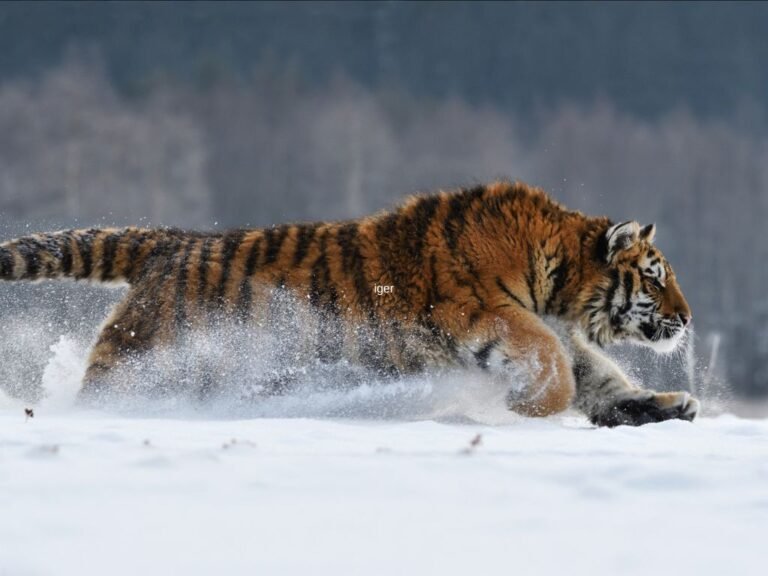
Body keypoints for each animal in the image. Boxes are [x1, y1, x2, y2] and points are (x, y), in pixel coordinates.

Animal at [0, 181, 698, 426]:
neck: (557, 279)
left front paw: (667, 405)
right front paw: (529, 406)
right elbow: (554, 363)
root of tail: (170, 242)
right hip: (145, 358)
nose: (689, 318)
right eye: (655, 276)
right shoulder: (482, 313)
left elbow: (600, 377)